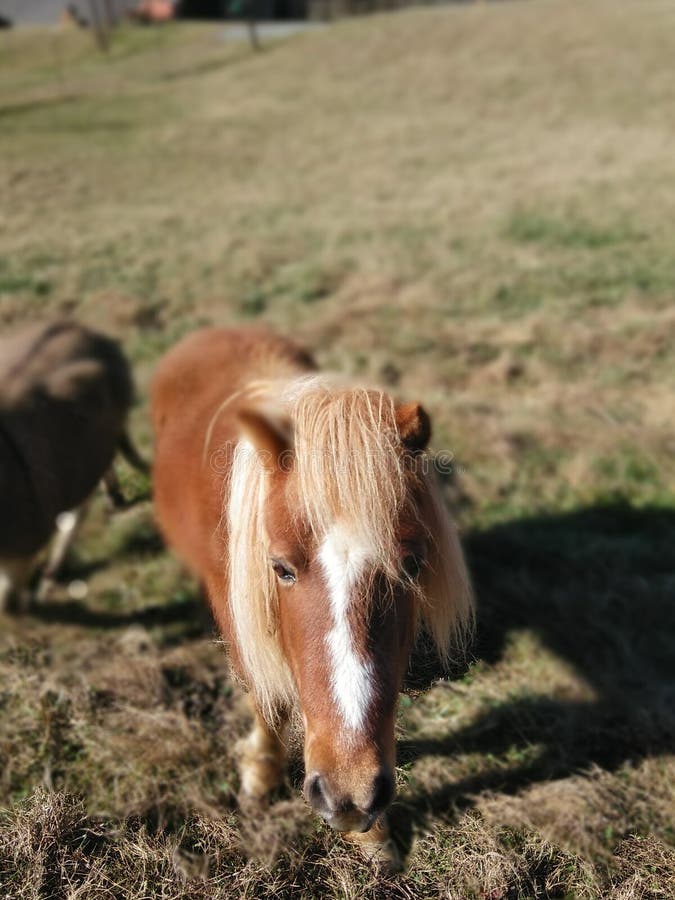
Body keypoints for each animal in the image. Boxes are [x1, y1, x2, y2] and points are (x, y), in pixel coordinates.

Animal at [151, 327, 473, 868]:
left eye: (410, 565)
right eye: (280, 568)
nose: (350, 794)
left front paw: (373, 834)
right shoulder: (240, 623)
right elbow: (268, 700)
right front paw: (261, 775)